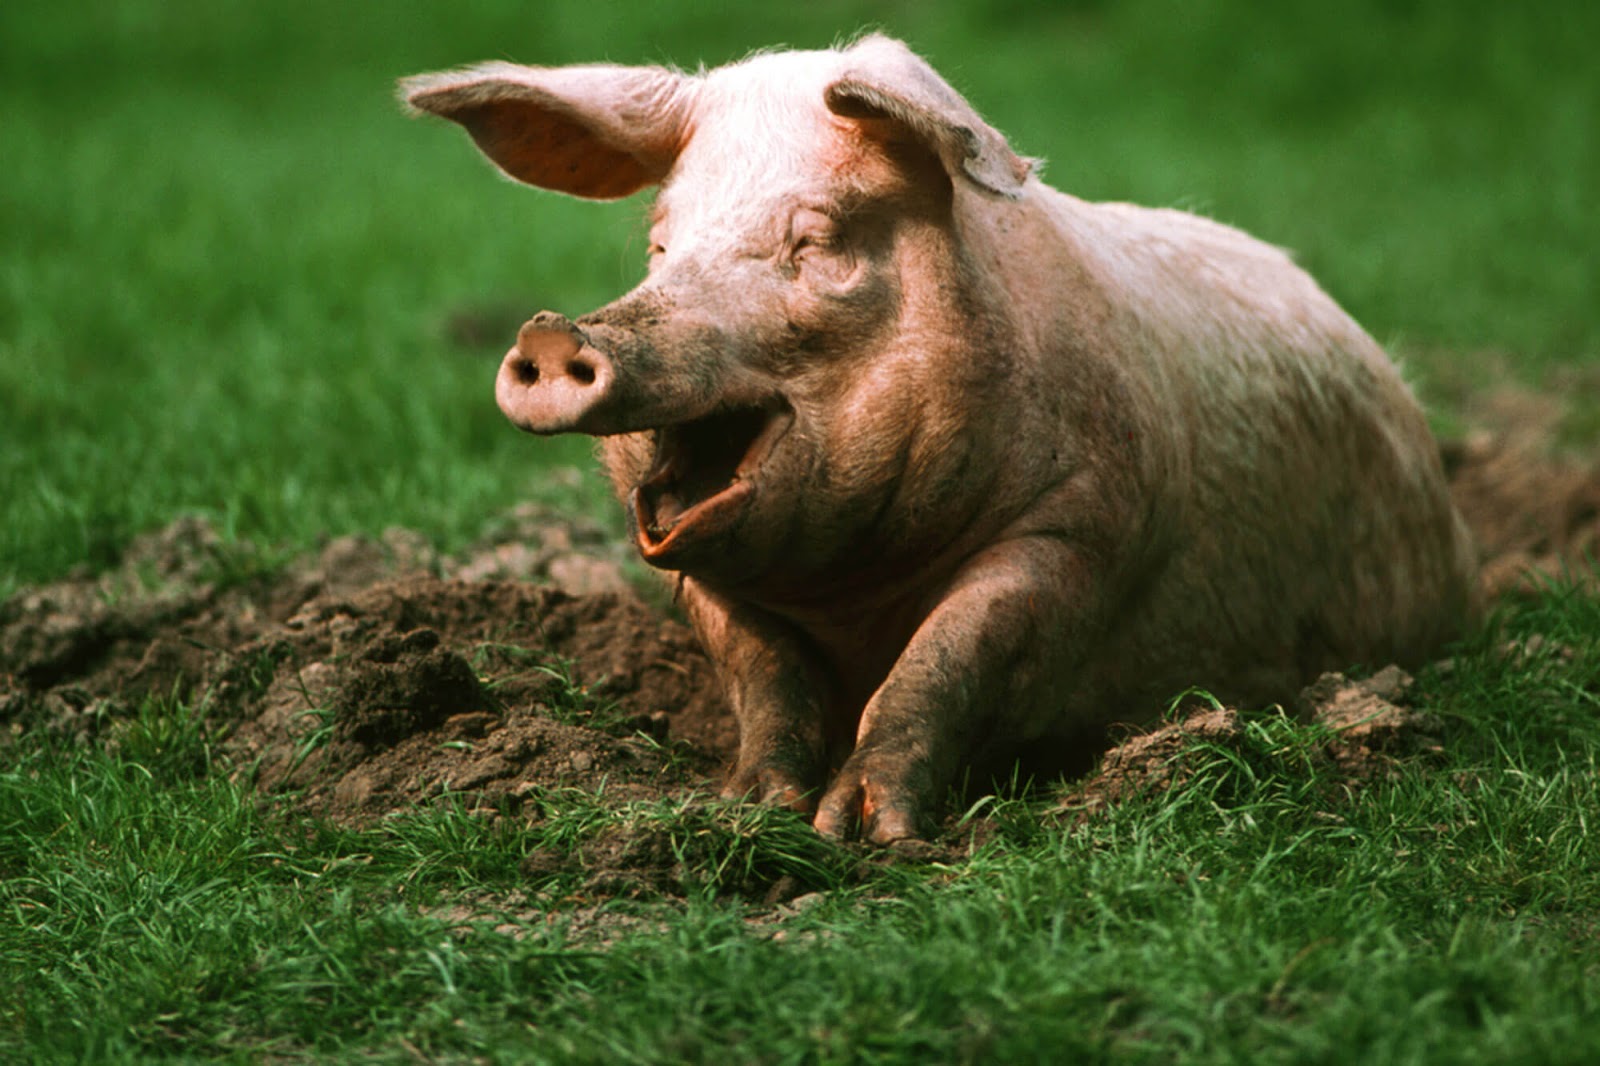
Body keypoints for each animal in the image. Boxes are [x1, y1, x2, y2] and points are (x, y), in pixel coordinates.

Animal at [401, 35, 1481, 842]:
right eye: (662, 243)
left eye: (814, 241)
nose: (553, 335)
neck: (854, 589)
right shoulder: (703, 580)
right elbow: (764, 677)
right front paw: (752, 809)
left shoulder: (1079, 529)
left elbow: (949, 656)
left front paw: (866, 833)